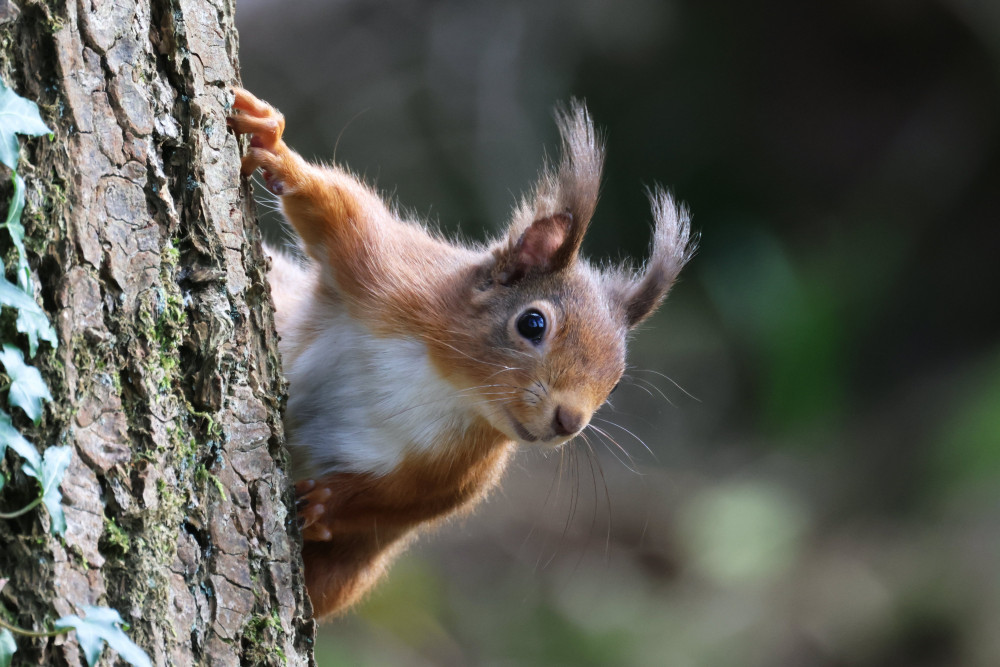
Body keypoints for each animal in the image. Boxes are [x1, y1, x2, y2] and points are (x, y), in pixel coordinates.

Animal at [226, 88, 695, 618]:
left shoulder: (460, 473)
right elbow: (336, 209)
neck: (449, 383)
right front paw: (272, 142)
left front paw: (331, 502)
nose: (569, 422)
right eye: (532, 323)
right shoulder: (388, 271)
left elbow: (401, 501)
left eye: (614, 384)